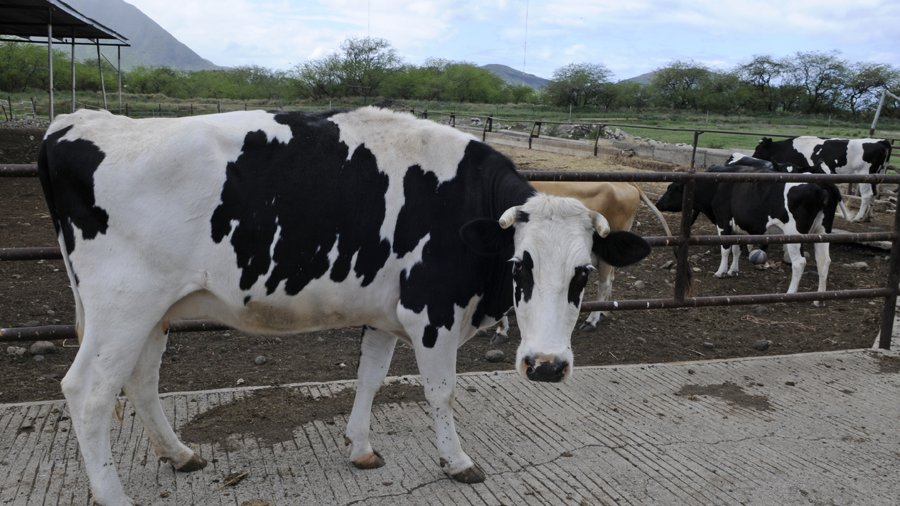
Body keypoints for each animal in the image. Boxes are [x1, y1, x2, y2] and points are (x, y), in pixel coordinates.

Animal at [38, 107, 651, 505]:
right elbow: (442, 392)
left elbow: (369, 378)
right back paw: (115, 495)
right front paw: (457, 461)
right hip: (123, 305)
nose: (545, 366)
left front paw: (360, 448)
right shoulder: (431, 313)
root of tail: (82, 120)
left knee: (140, 382)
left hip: (153, 311)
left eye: (583, 272)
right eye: (521, 265)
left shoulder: (385, 315)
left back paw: (181, 454)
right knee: (88, 392)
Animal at [655, 164, 841, 299]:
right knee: (824, 260)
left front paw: (721, 272)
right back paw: (819, 297)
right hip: (821, 231)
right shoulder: (738, 227)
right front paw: (733, 270)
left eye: (671, 189)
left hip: (794, 233)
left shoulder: (723, 221)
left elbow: (725, 249)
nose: (658, 204)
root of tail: (821, 184)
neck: (715, 185)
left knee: (800, 262)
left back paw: (790, 293)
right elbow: (736, 249)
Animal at [752, 136, 892, 222]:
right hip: (877, 175)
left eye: (759, 148)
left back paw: (858, 218)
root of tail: (880, 141)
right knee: (875, 193)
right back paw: (868, 217)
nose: (753, 156)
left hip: (864, 174)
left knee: (867, 195)